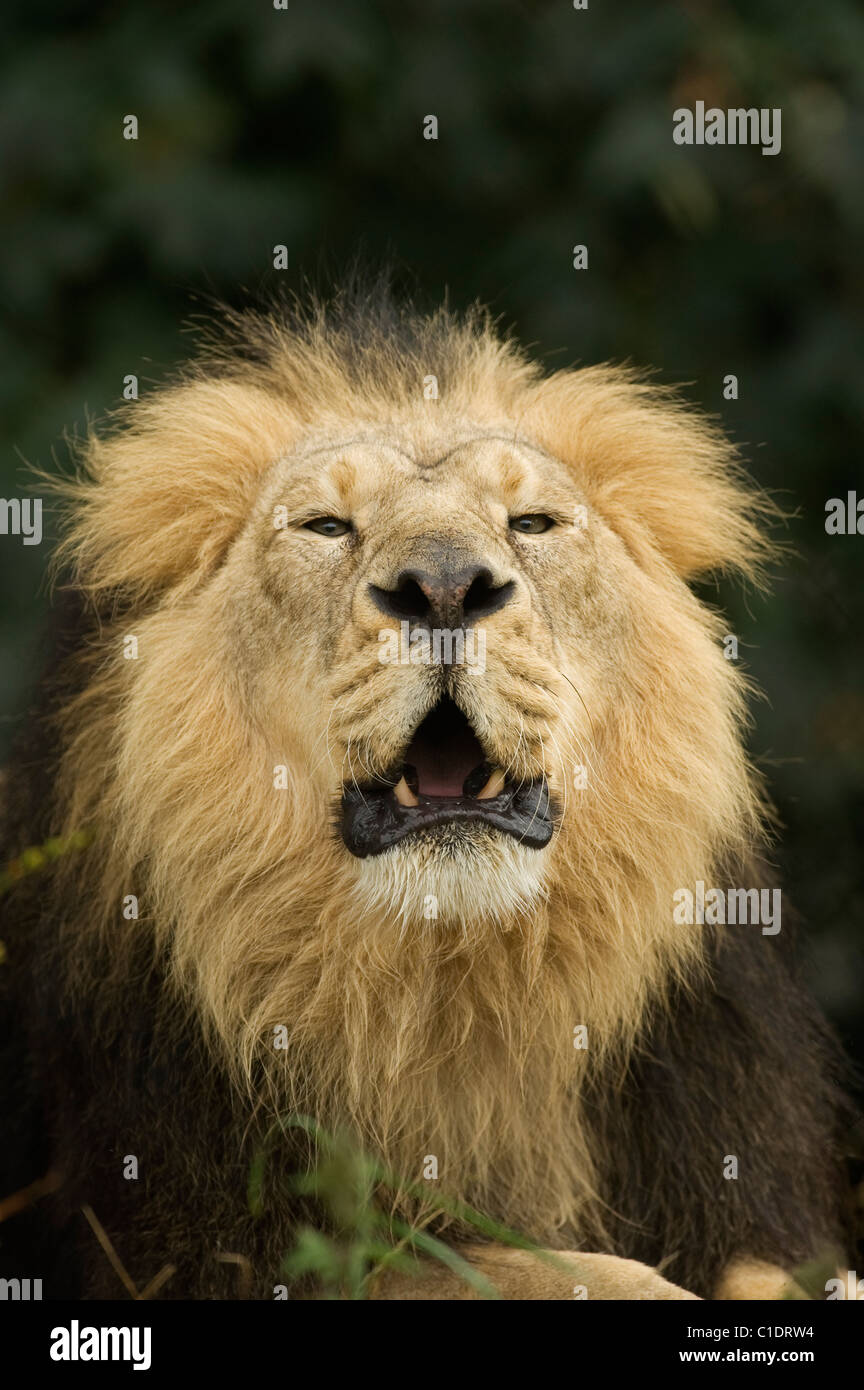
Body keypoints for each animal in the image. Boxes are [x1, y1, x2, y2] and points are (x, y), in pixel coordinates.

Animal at [0, 285, 852, 1301]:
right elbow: (529, 1269)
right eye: (326, 527)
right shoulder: (194, 1247)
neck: (448, 981)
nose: (444, 587)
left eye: (533, 523)